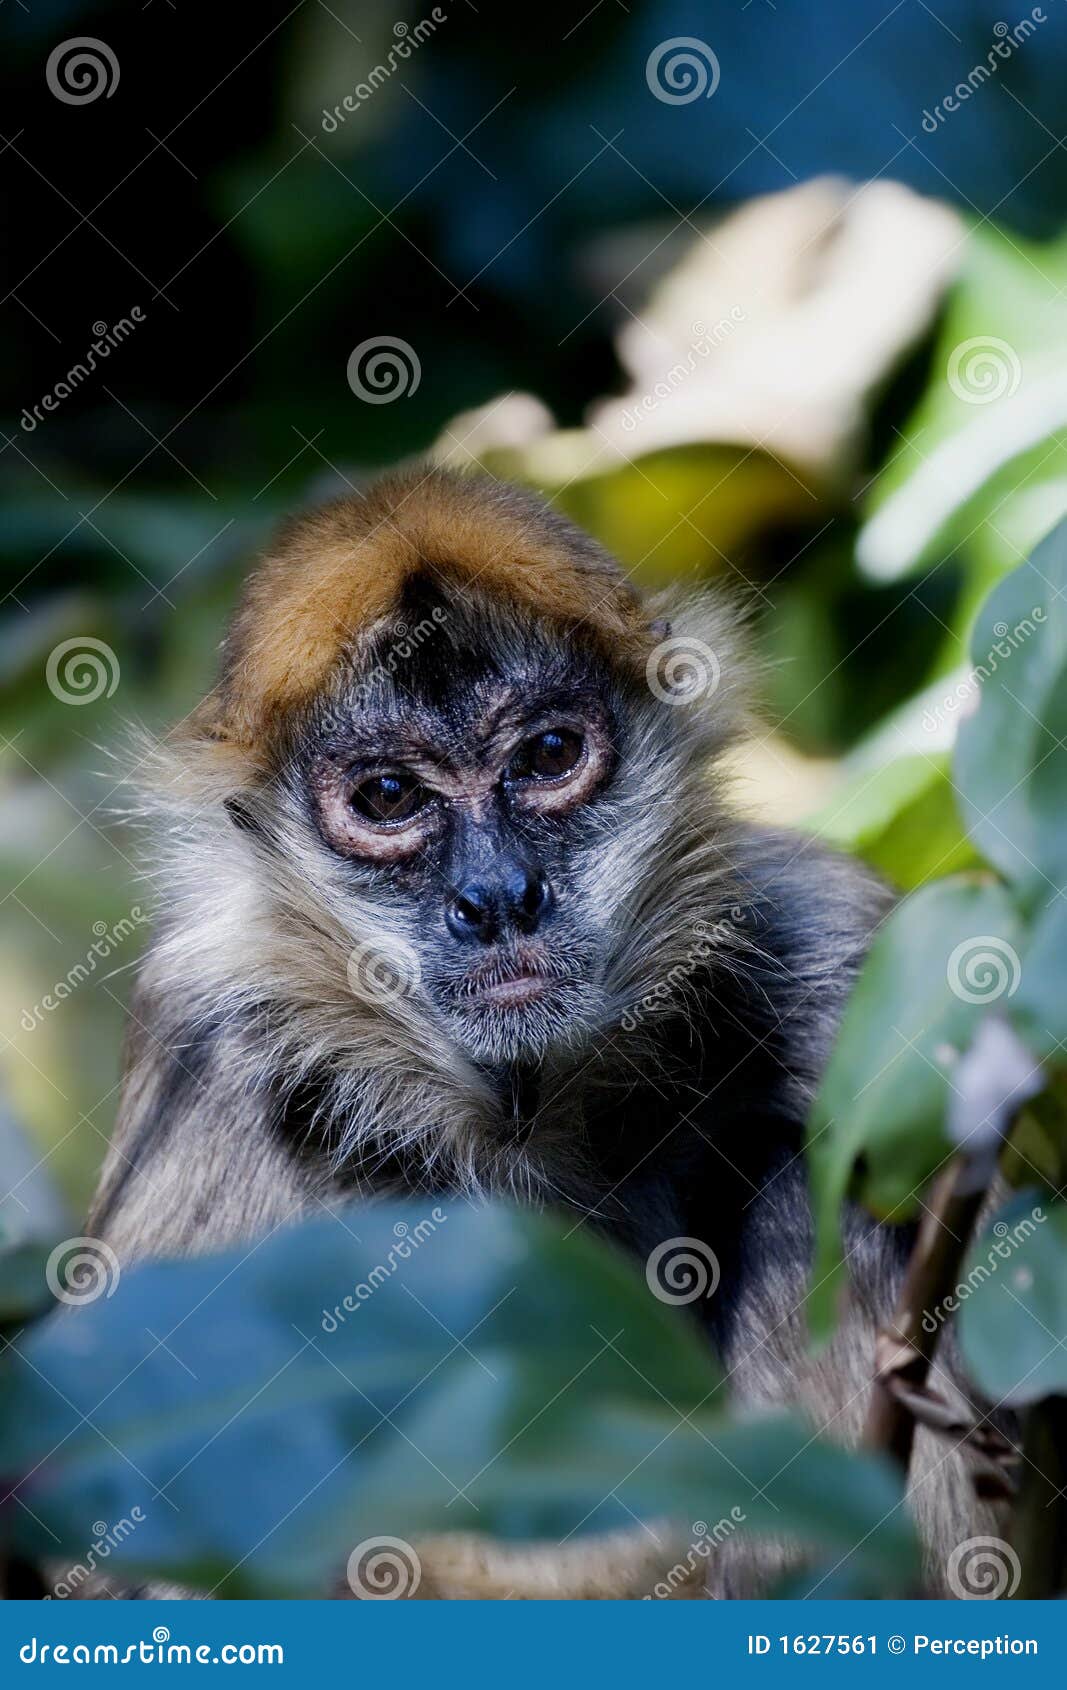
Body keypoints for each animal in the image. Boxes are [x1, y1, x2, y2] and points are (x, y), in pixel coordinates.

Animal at [85, 466, 1004, 1598]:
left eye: (549, 755)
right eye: (388, 795)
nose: (497, 898)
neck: (522, 1111)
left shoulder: (831, 940)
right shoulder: (209, 1047)